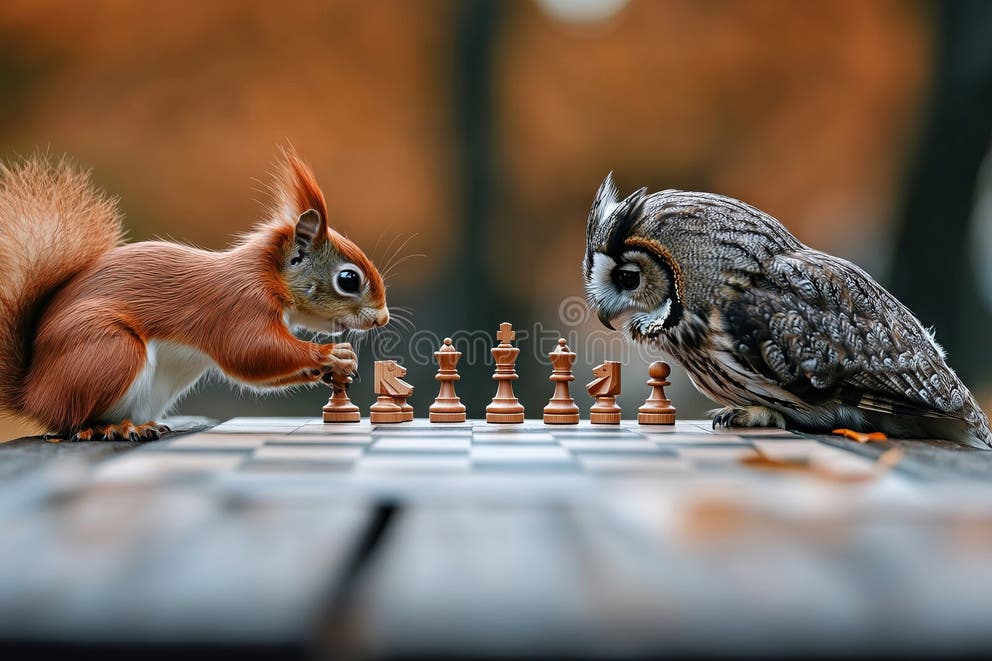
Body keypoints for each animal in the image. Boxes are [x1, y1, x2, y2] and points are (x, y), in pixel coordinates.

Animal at [0, 149, 389, 441]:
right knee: (70, 421)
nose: (382, 318)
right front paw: (331, 354)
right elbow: (251, 353)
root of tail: (32, 392)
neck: (267, 276)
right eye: (348, 279)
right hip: (111, 352)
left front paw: (333, 368)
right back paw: (109, 429)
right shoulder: (238, 306)